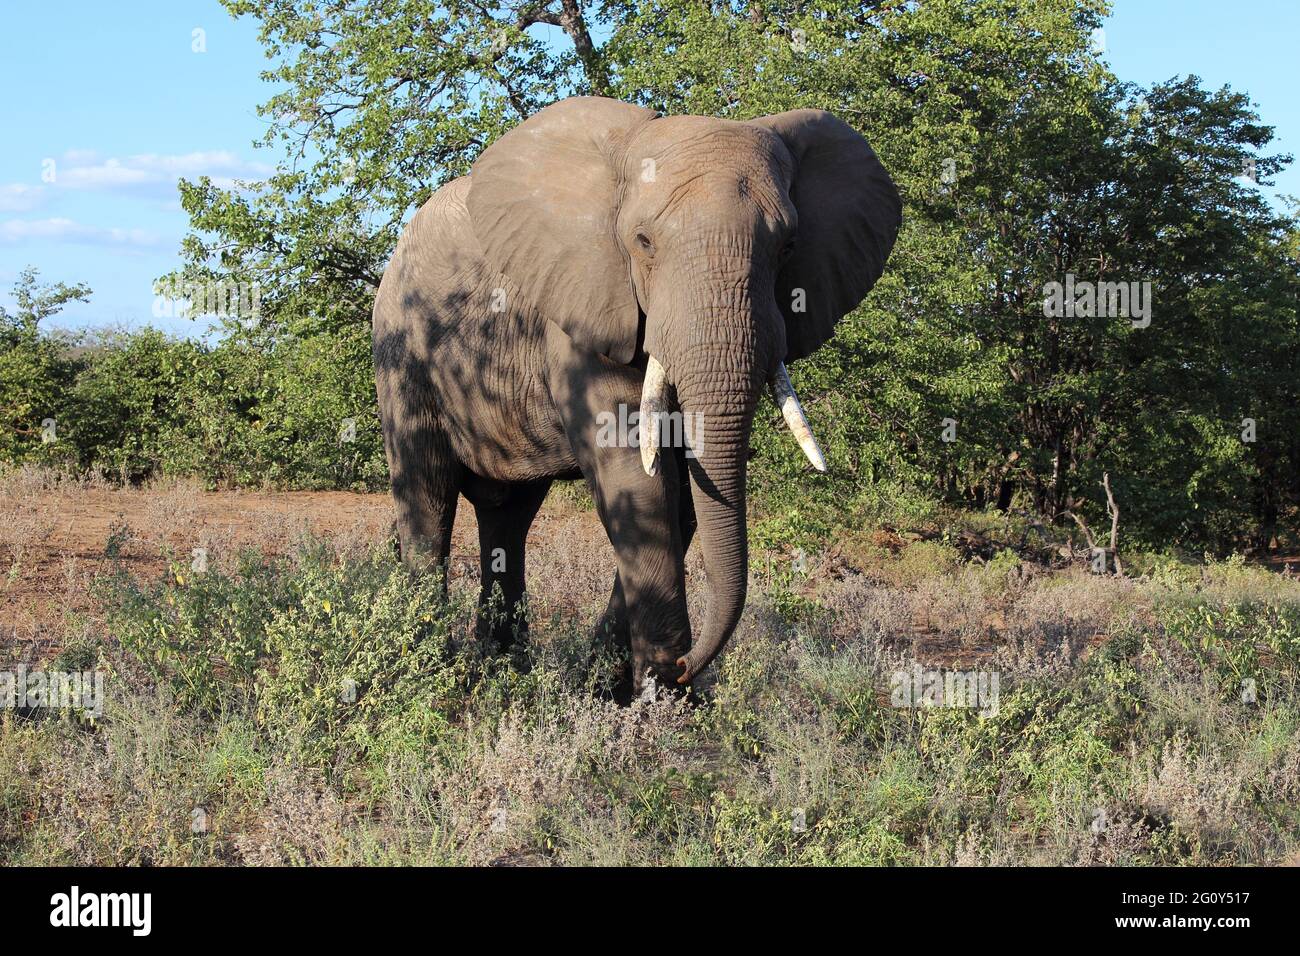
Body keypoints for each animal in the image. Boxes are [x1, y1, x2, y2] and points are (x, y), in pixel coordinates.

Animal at [372, 96, 901, 696]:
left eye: (788, 245)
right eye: (643, 243)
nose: (687, 665)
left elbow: (685, 499)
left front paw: (615, 690)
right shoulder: (586, 302)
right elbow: (637, 476)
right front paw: (666, 703)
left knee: (508, 514)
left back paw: (504, 672)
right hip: (402, 350)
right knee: (427, 497)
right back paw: (432, 674)